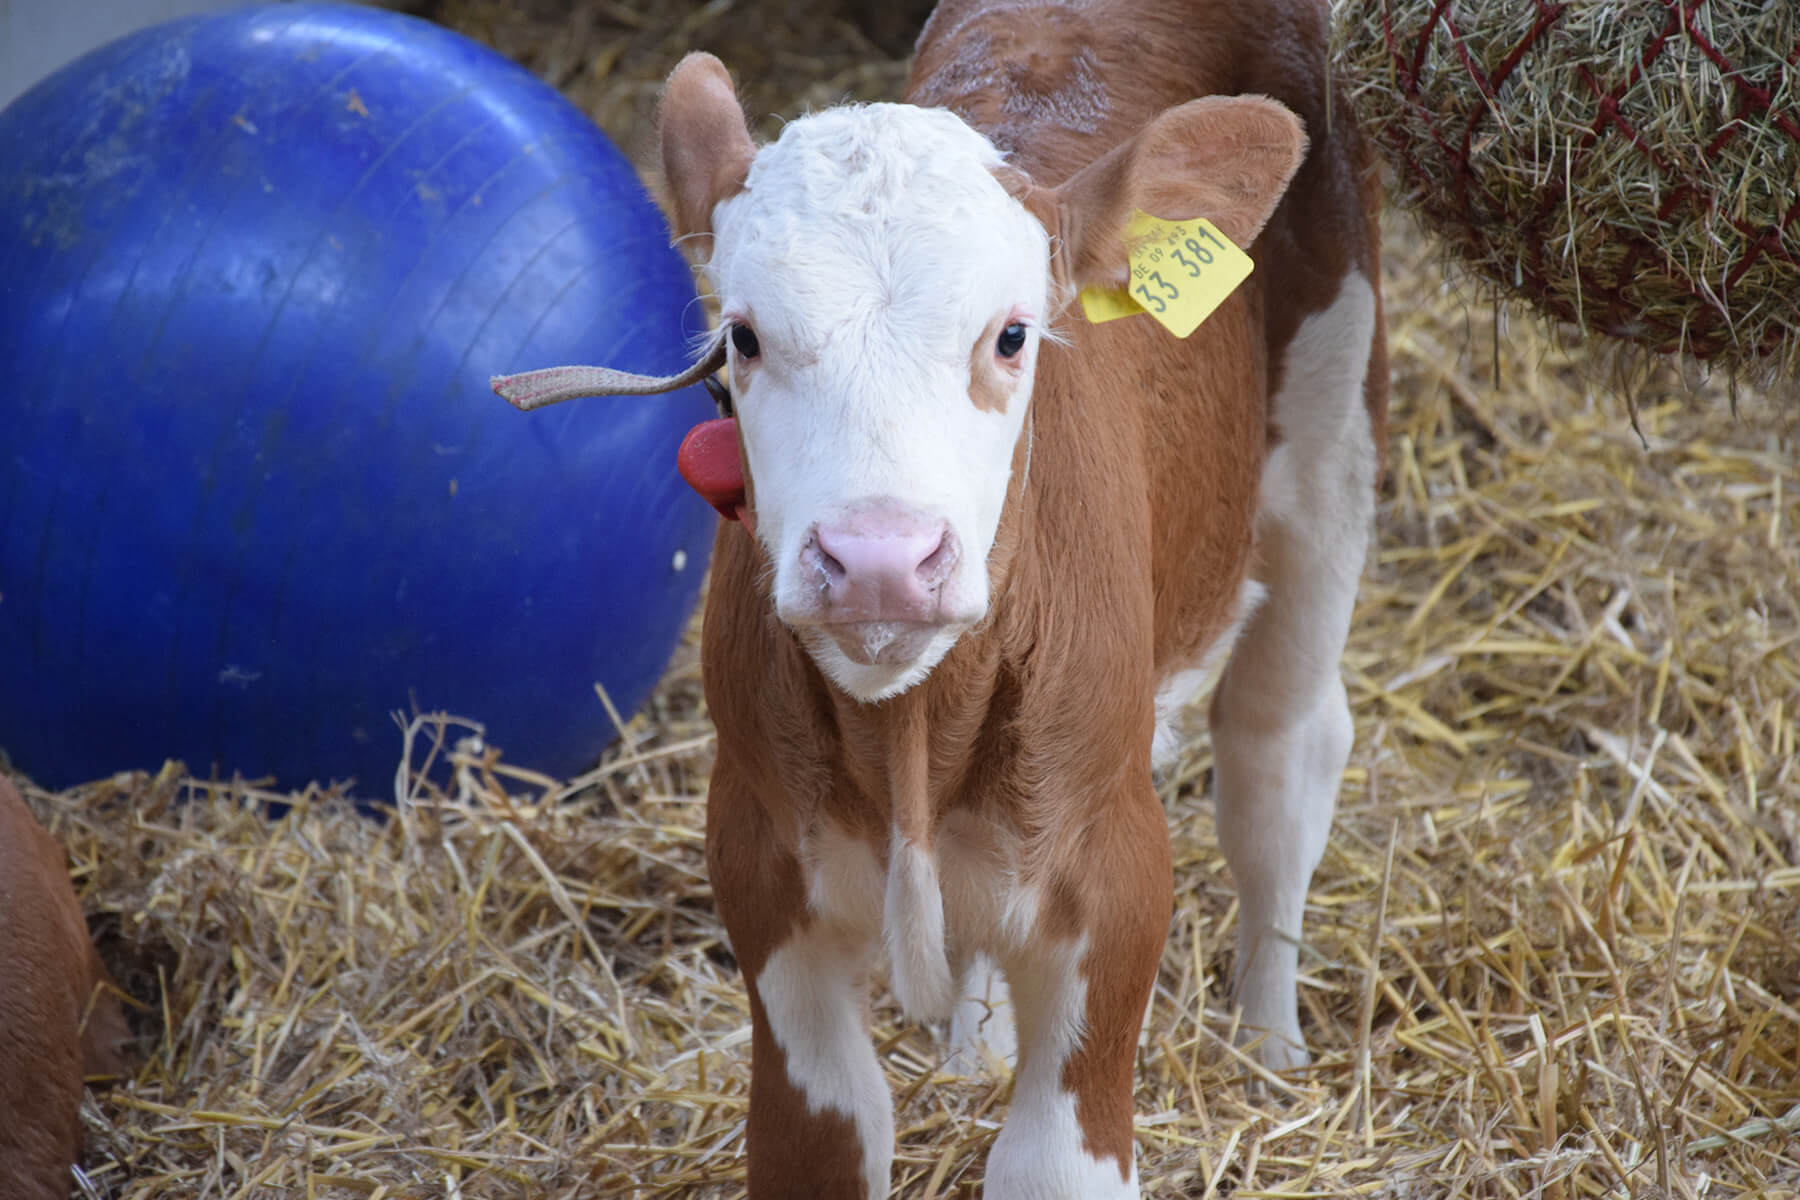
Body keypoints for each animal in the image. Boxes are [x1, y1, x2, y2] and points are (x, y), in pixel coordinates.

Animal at [493, 0, 1385, 1193]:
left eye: (1011, 334)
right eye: (744, 336)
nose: (878, 558)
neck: (914, 732)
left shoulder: (1114, 867)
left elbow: (1049, 1161)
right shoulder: (759, 860)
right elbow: (821, 1138)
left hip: (1331, 433)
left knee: (1279, 745)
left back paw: (1269, 1044)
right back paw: (978, 1046)